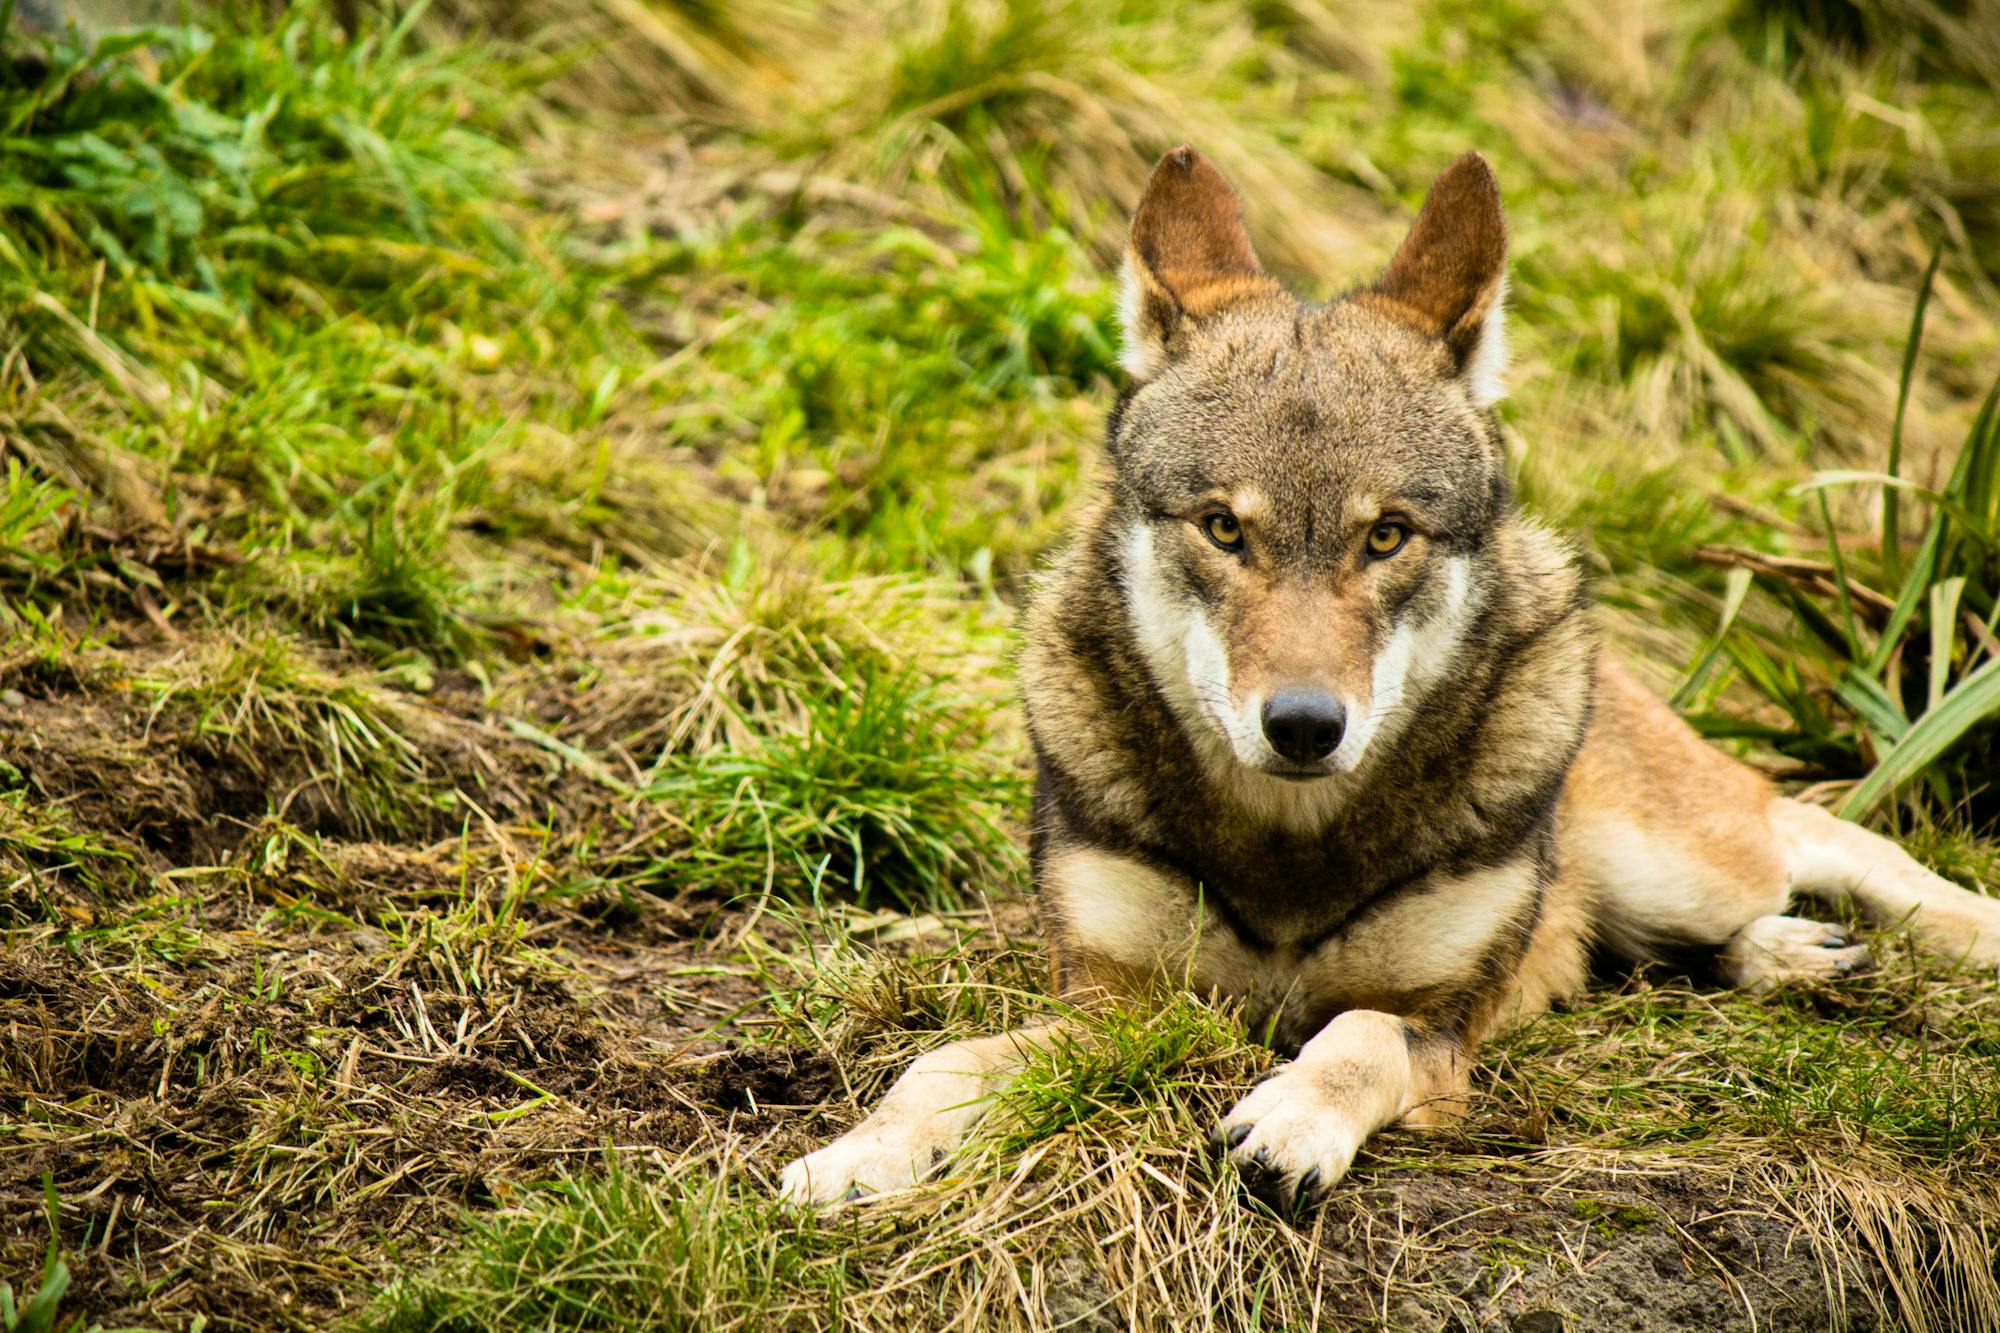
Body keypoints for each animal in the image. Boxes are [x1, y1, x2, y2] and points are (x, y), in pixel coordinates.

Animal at [780, 147, 2000, 1213]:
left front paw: (1290, 1121)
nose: (1304, 725)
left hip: (1679, 859)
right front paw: (856, 1155)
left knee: (1814, 826)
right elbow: (946, 1061)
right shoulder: (1107, 1003)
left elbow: (1355, 1033)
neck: (1289, 848)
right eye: (1223, 528)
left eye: (1386, 536)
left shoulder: (1442, 1028)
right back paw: (1786, 956)